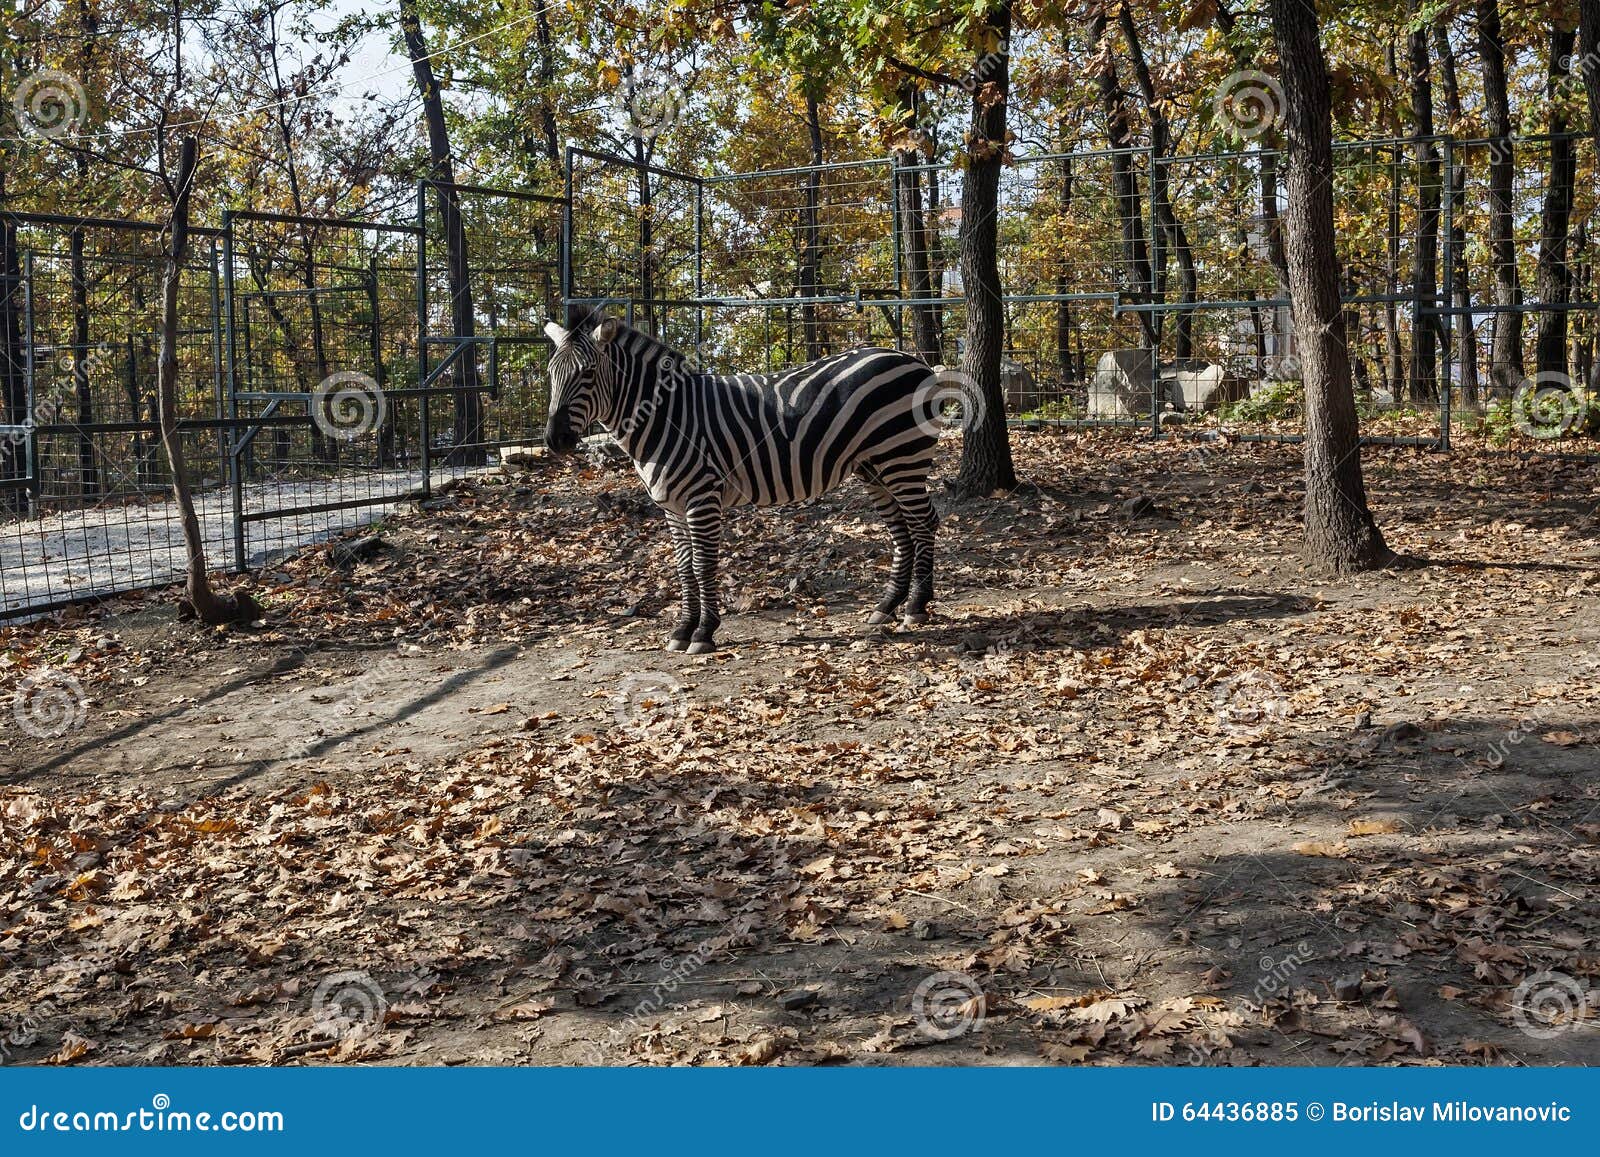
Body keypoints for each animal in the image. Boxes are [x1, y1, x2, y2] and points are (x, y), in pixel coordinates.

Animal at [542, 310, 947, 654]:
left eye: (588, 373)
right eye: (550, 374)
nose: (554, 440)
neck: (665, 416)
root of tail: (913, 358)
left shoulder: (701, 497)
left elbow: (703, 564)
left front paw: (704, 633)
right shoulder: (671, 506)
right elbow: (683, 567)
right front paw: (682, 629)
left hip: (902, 458)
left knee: (923, 523)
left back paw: (916, 606)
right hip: (874, 468)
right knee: (902, 530)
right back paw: (887, 605)